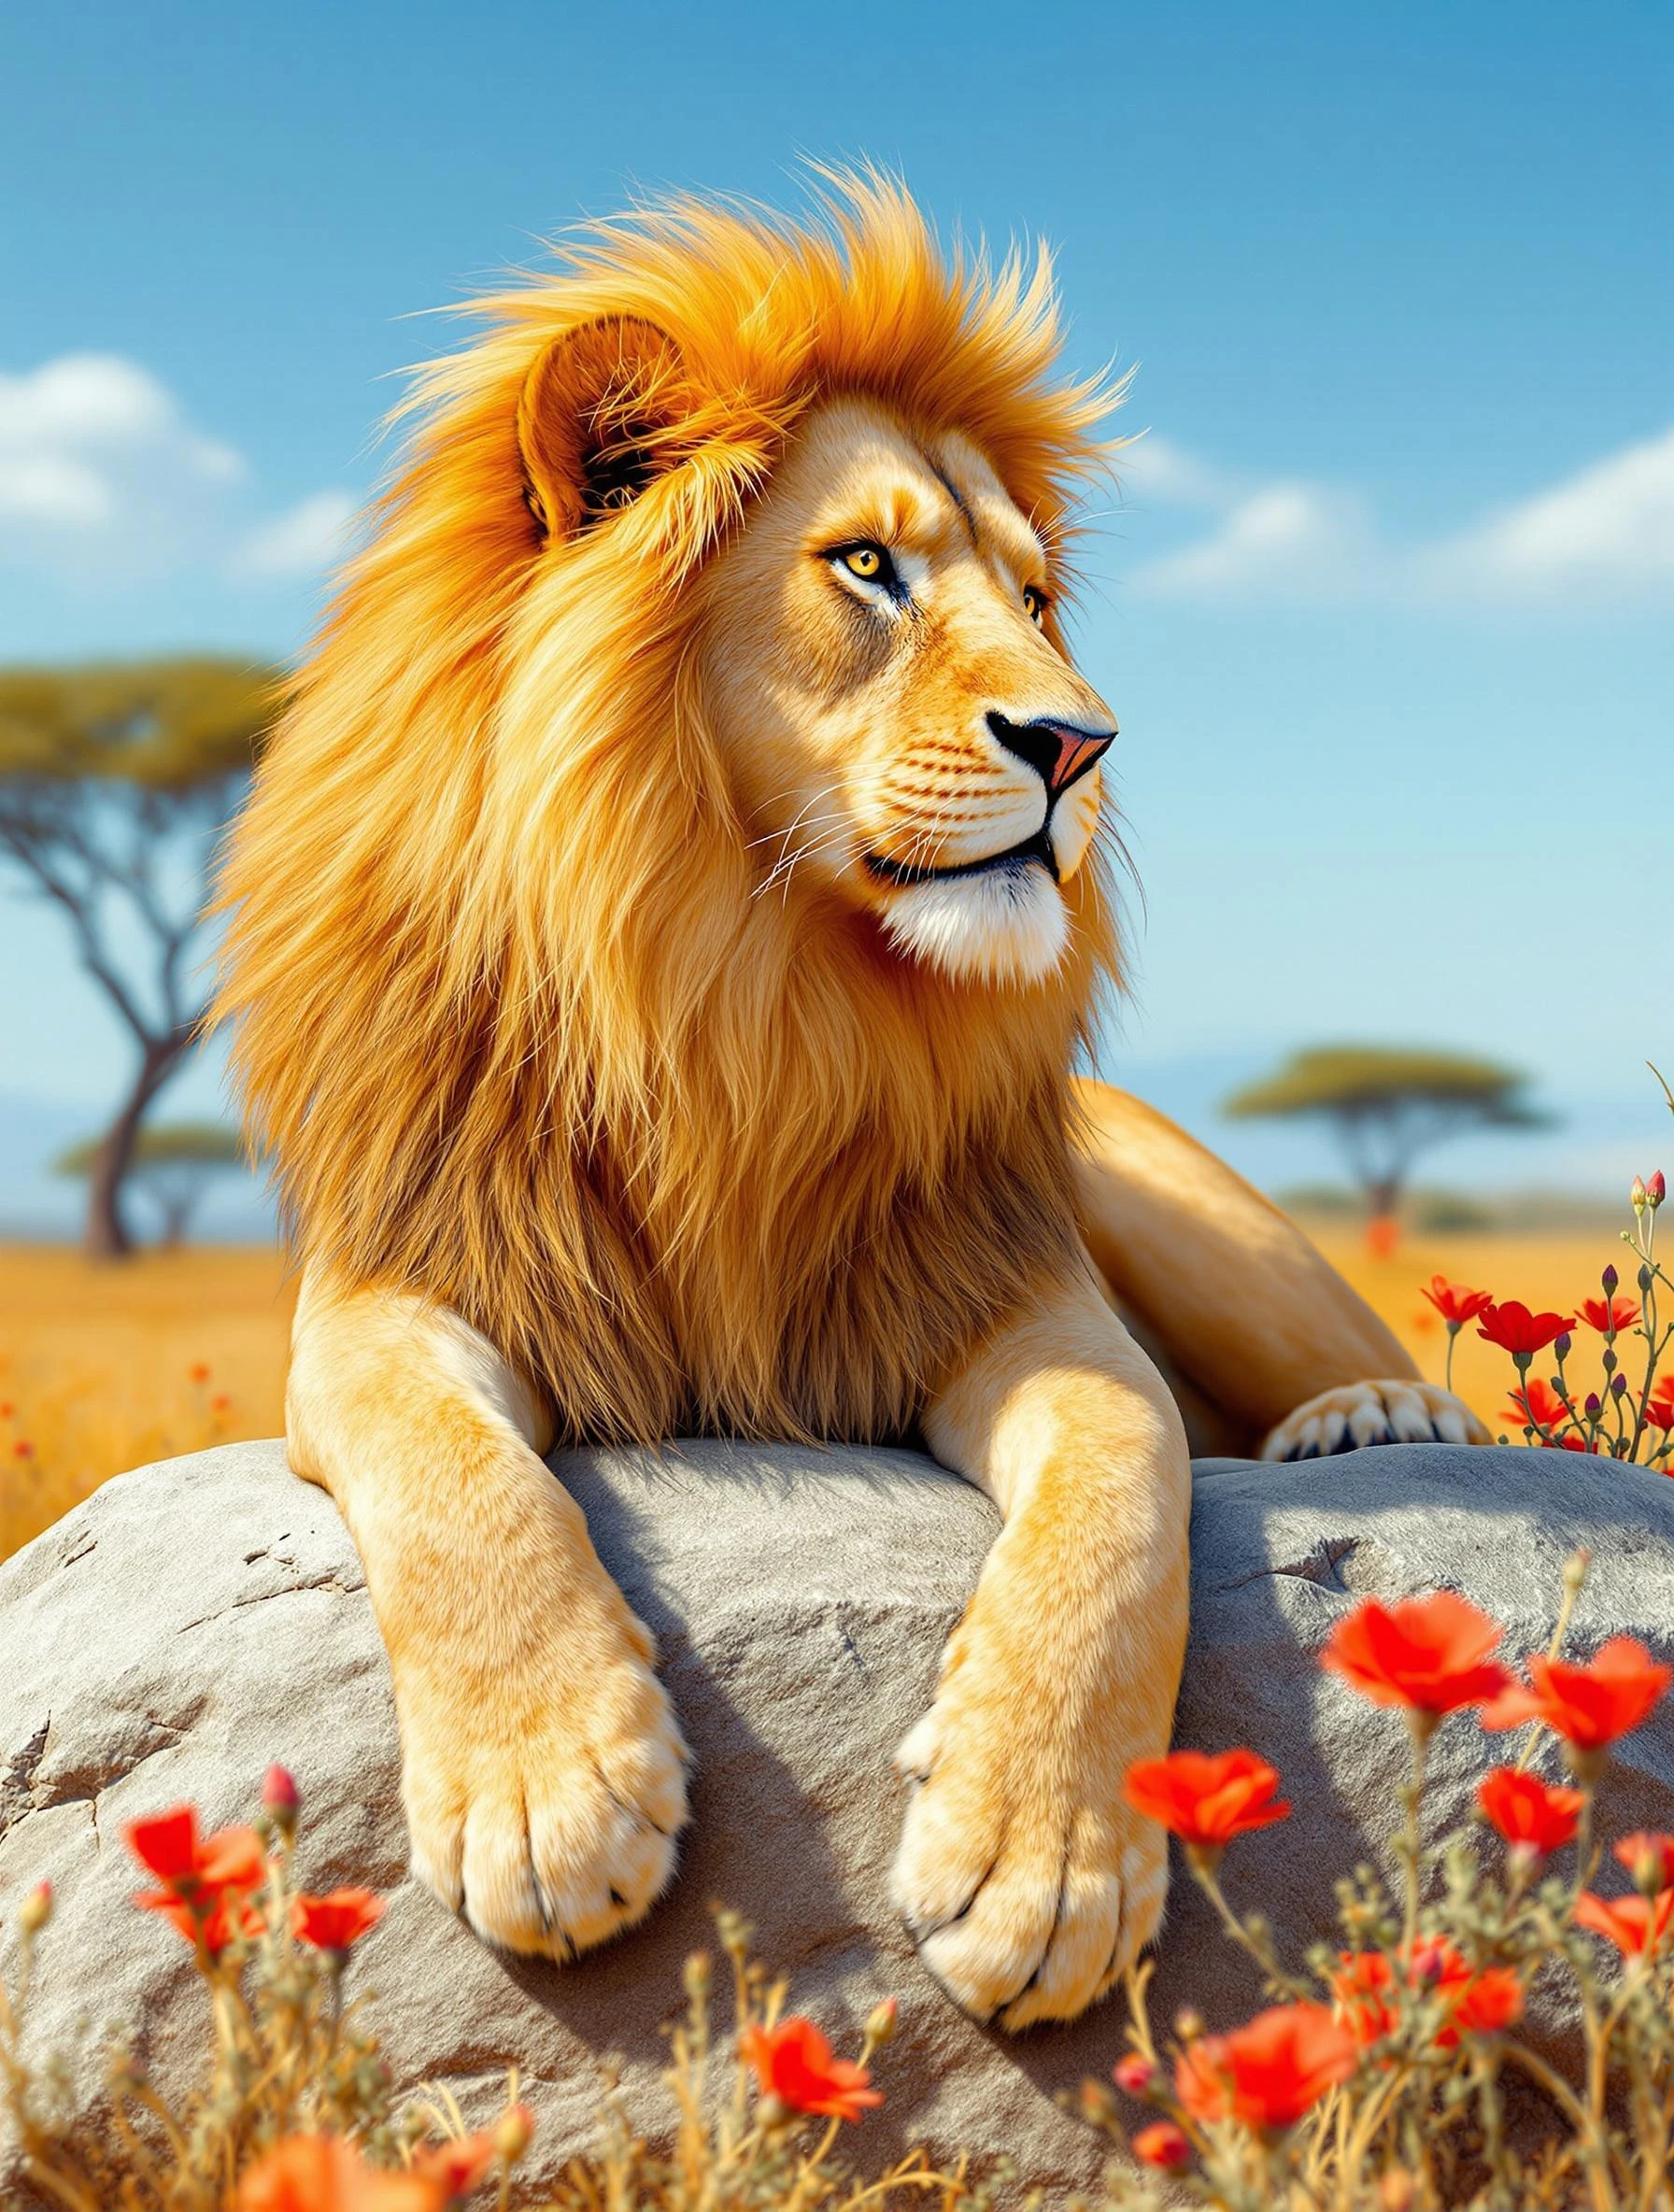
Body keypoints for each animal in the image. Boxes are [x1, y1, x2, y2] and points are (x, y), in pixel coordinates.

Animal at [213, 175, 1486, 2032]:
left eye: (1036, 596)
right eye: (866, 566)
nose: (1083, 745)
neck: (739, 999)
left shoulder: (1025, 1308)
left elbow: (1122, 1489)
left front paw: (1041, 1859)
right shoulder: (392, 1289)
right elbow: (451, 1476)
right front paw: (550, 1786)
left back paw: (1371, 1417)